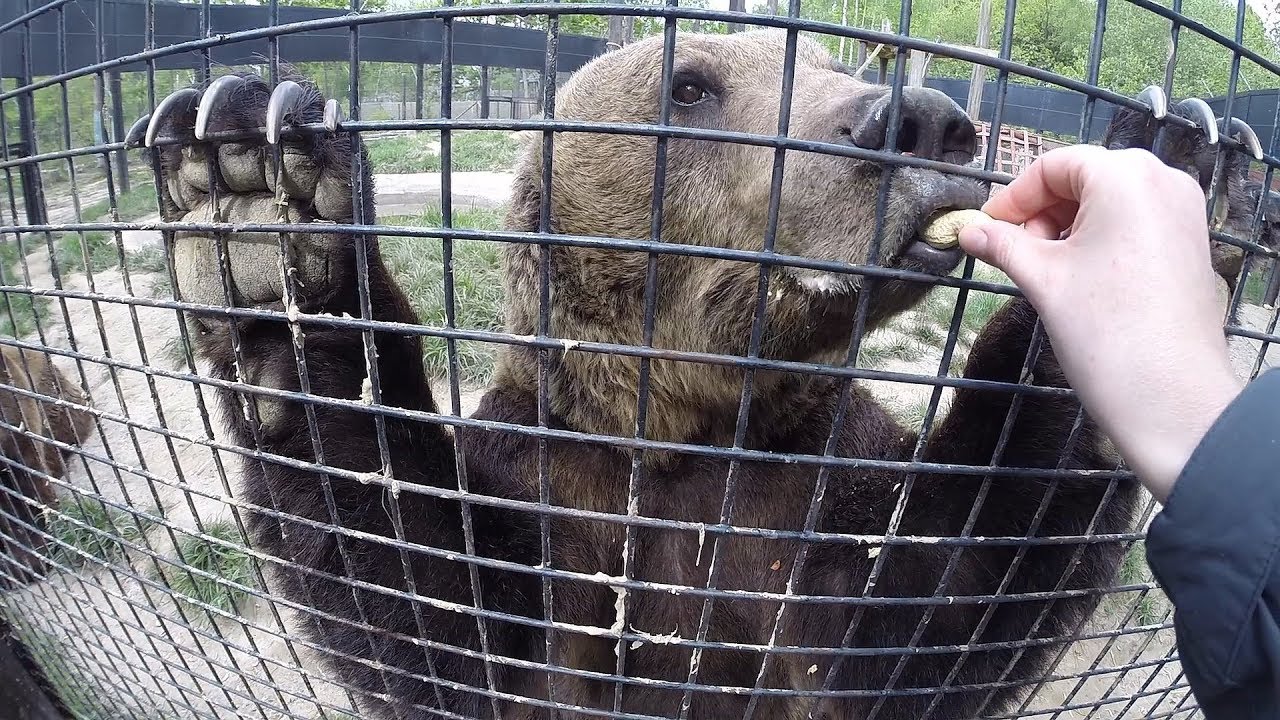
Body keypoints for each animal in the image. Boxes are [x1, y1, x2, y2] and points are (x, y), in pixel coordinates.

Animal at [128, 29, 1255, 720]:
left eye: (834, 63)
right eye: (691, 84)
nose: (924, 120)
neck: (682, 429)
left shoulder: (799, 490)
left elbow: (919, 610)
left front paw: (1180, 164)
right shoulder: (556, 482)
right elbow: (441, 611)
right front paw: (260, 198)